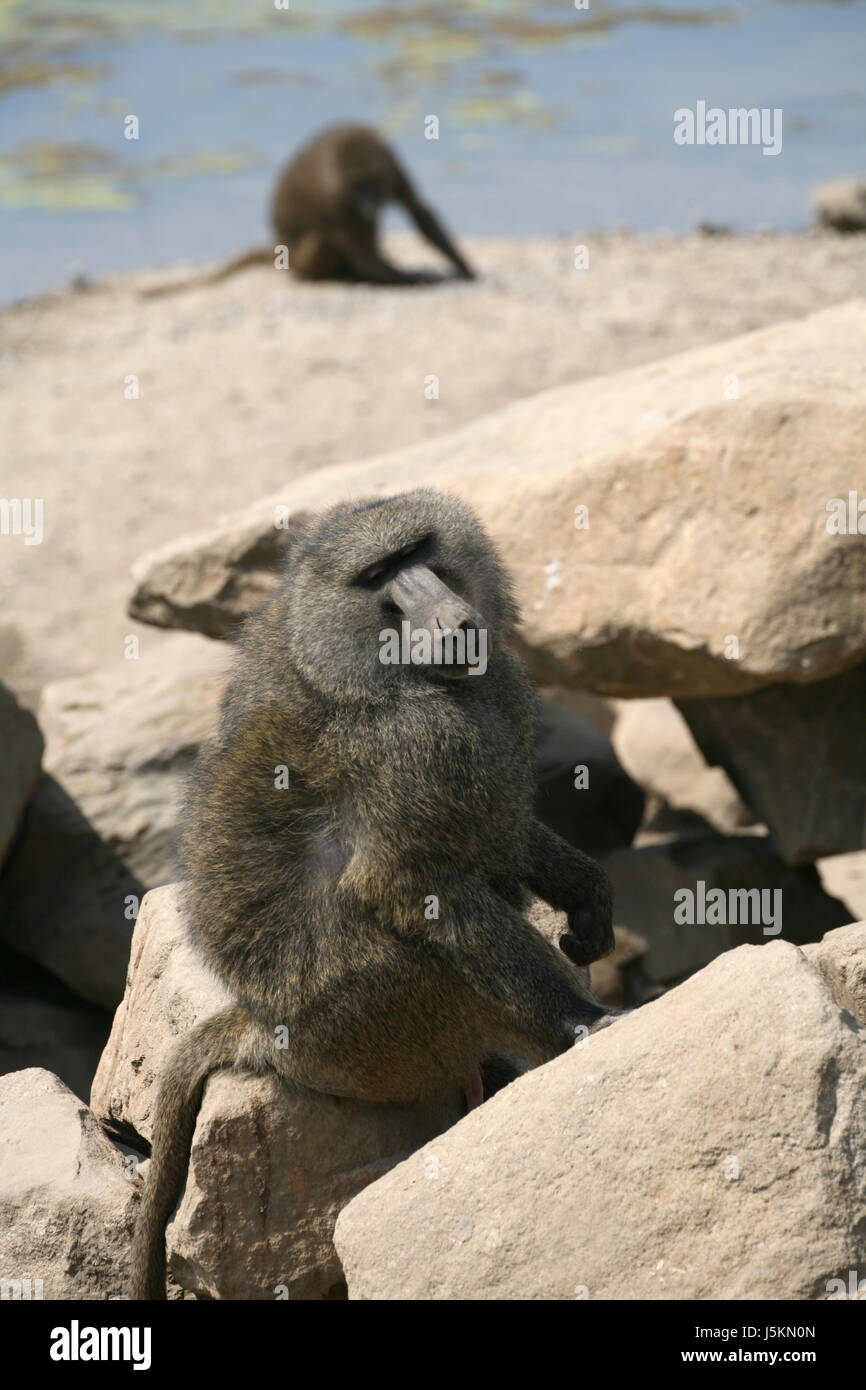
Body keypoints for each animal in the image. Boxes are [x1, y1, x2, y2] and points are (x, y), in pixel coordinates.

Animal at [128, 489, 615, 1300]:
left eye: (419, 553)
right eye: (378, 578)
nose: (451, 621)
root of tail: (262, 1021)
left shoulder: (493, 697)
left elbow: (502, 834)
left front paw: (588, 902)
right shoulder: (419, 743)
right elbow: (413, 888)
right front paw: (583, 1021)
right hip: (374, 1021)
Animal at [139, 124, 475, 297]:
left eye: (373, 183)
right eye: (358, 186)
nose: (369, 201)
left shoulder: (392, 168)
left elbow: (419, 210)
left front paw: (465, 269)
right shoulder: (335, 197)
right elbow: (364, 257)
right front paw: (419, 279)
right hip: (302, 261)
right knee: (326, 240)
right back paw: (333, 277)